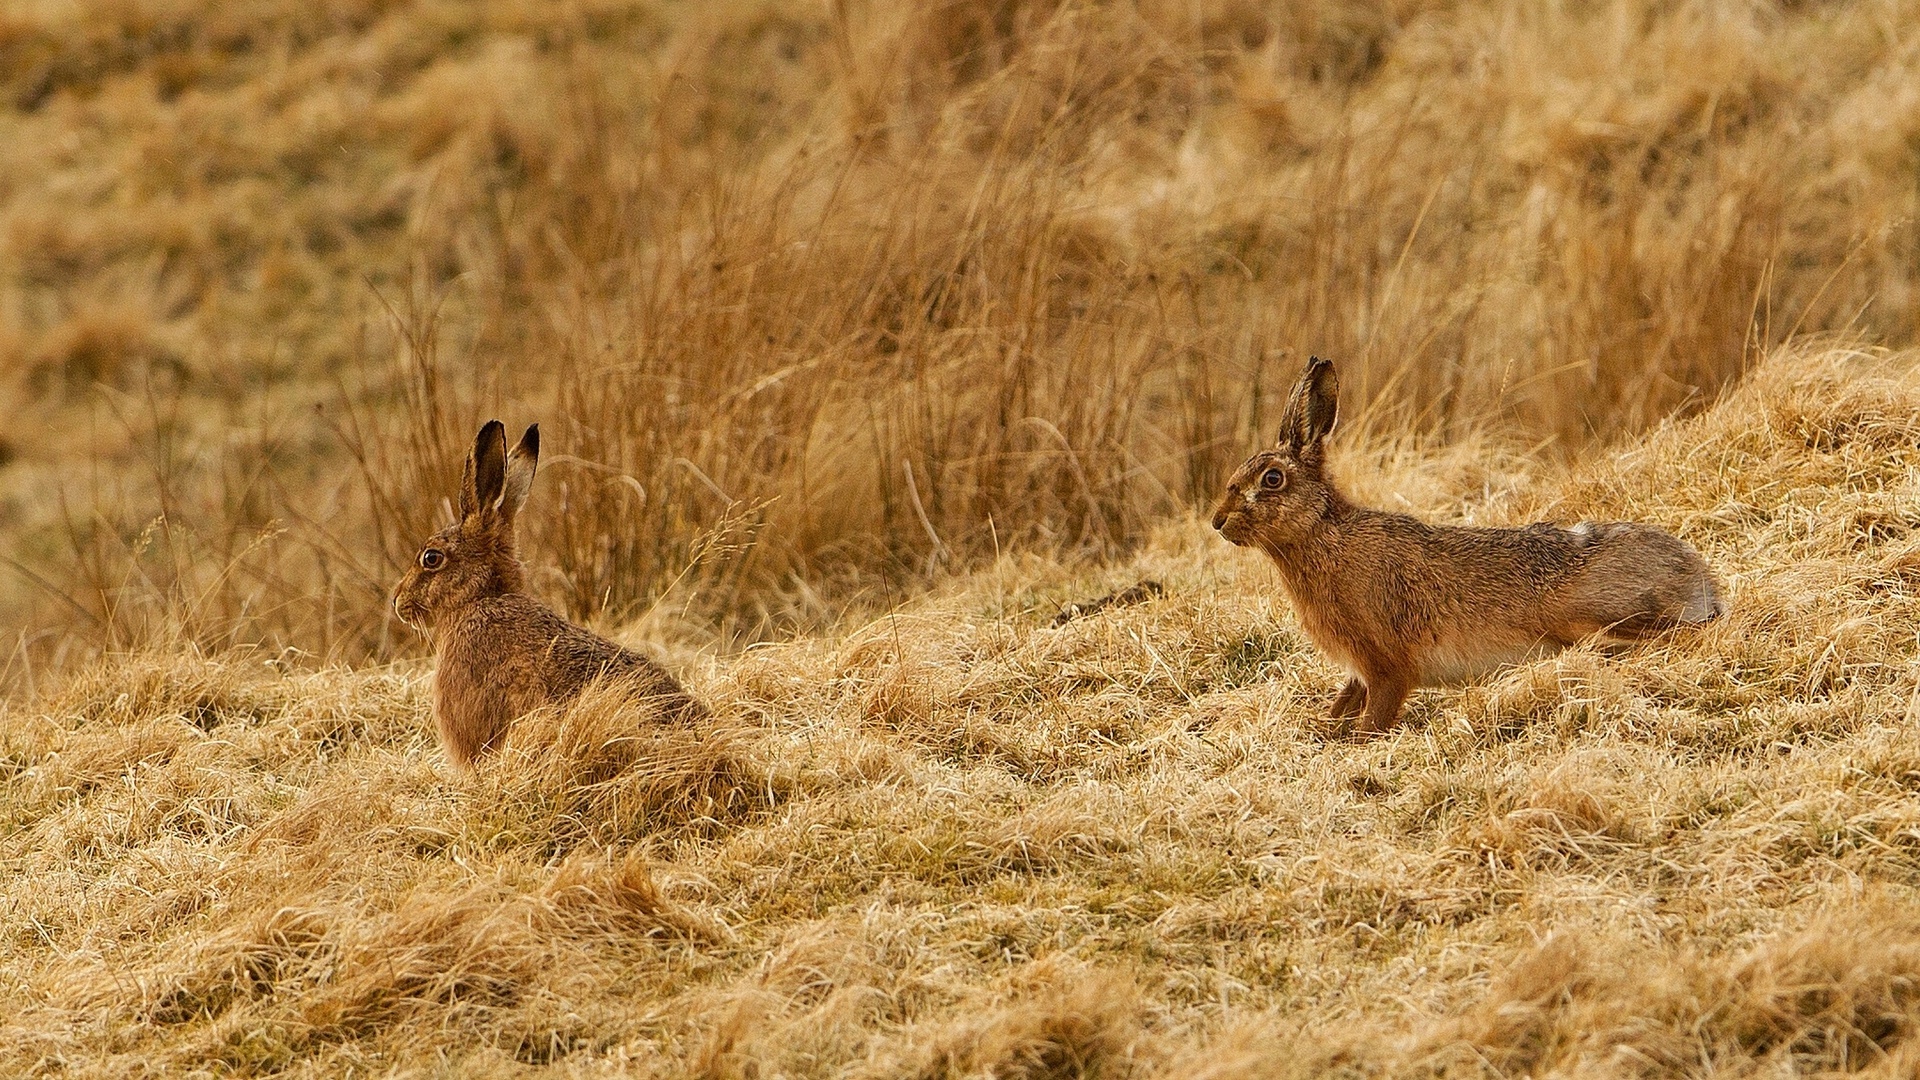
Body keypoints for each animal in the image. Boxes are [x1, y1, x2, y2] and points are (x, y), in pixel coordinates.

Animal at [1211, 356, 1725, 736]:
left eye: (1272, 479)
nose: (1218, 522)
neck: (1322, 536)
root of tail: (1700, 581)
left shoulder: (1386, 663)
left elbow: (1377, 712)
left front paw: (1356, 740)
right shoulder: (1357, 670)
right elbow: (1345, 701)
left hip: (1588, 616)